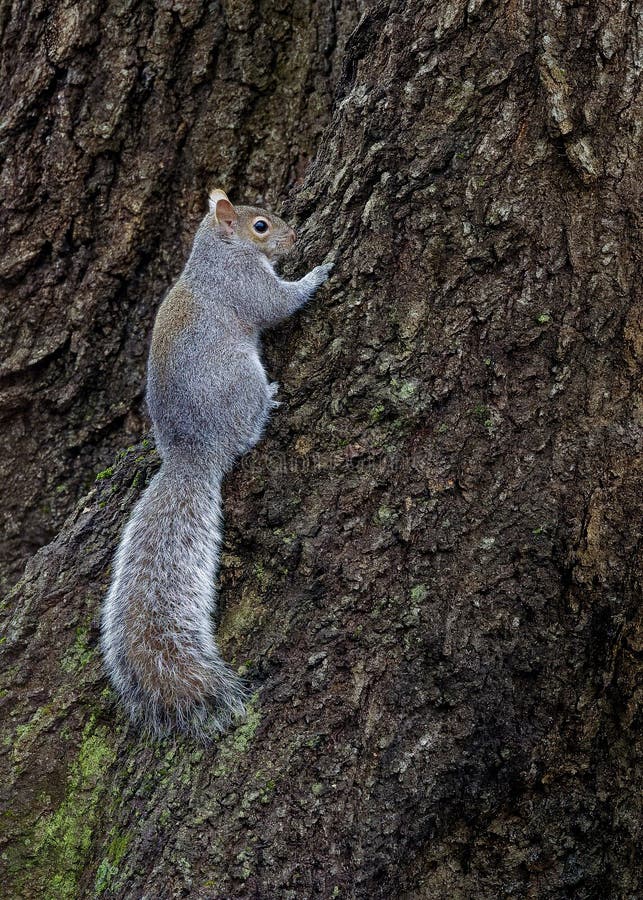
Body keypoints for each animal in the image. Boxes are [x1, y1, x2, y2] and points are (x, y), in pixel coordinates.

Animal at [100, 189, 332, 739]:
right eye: (261, 226)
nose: (295, 235)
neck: (215, 255)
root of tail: (193, 455)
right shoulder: (244, 284)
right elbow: (278, 304)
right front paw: (318, 273)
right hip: (239, 380)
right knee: (247, 429)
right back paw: (270, 401)